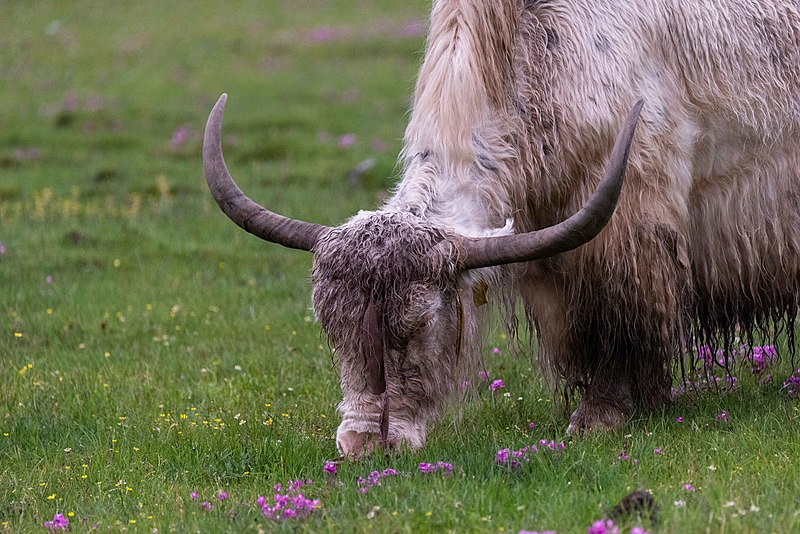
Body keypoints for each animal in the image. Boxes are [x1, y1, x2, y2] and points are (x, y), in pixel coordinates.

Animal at [203, 1, 800, 460]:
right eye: (330, 327)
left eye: (421, 322)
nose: (364, 446)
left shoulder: (632, 222)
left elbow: (623, 311)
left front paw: (601, 415)